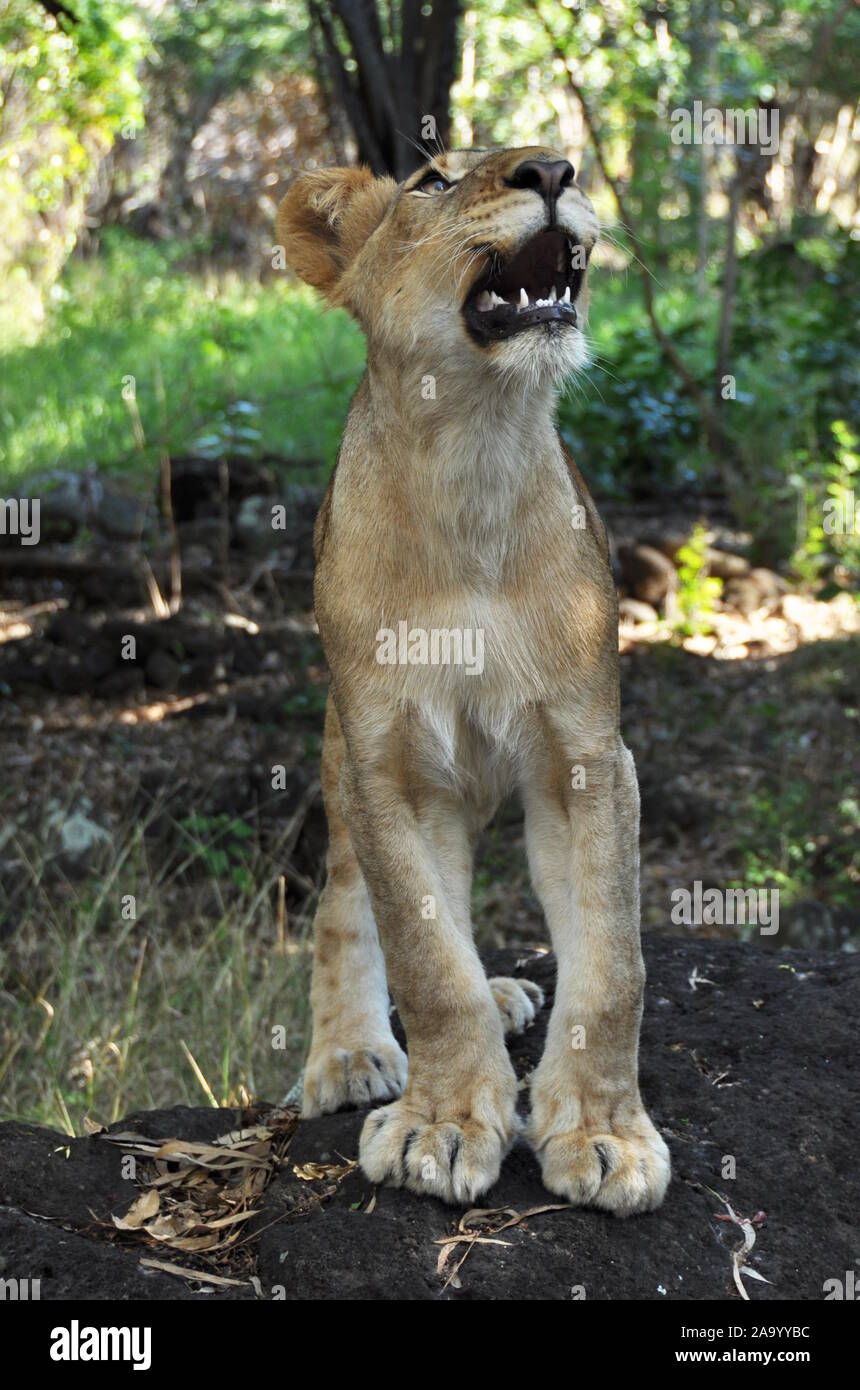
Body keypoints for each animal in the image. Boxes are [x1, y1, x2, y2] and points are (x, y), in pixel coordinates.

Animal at [275, 147, 670, 1214]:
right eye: (430, 182)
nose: (554, 166)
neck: (475, 462)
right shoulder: (391, 773)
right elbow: (424, 960)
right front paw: (443, 1124)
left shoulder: (587, 758)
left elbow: (613, 966)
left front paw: (605, 1134)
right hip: (340, 756)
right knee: (346, 906)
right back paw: (350, 1054)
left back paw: (504, 994)